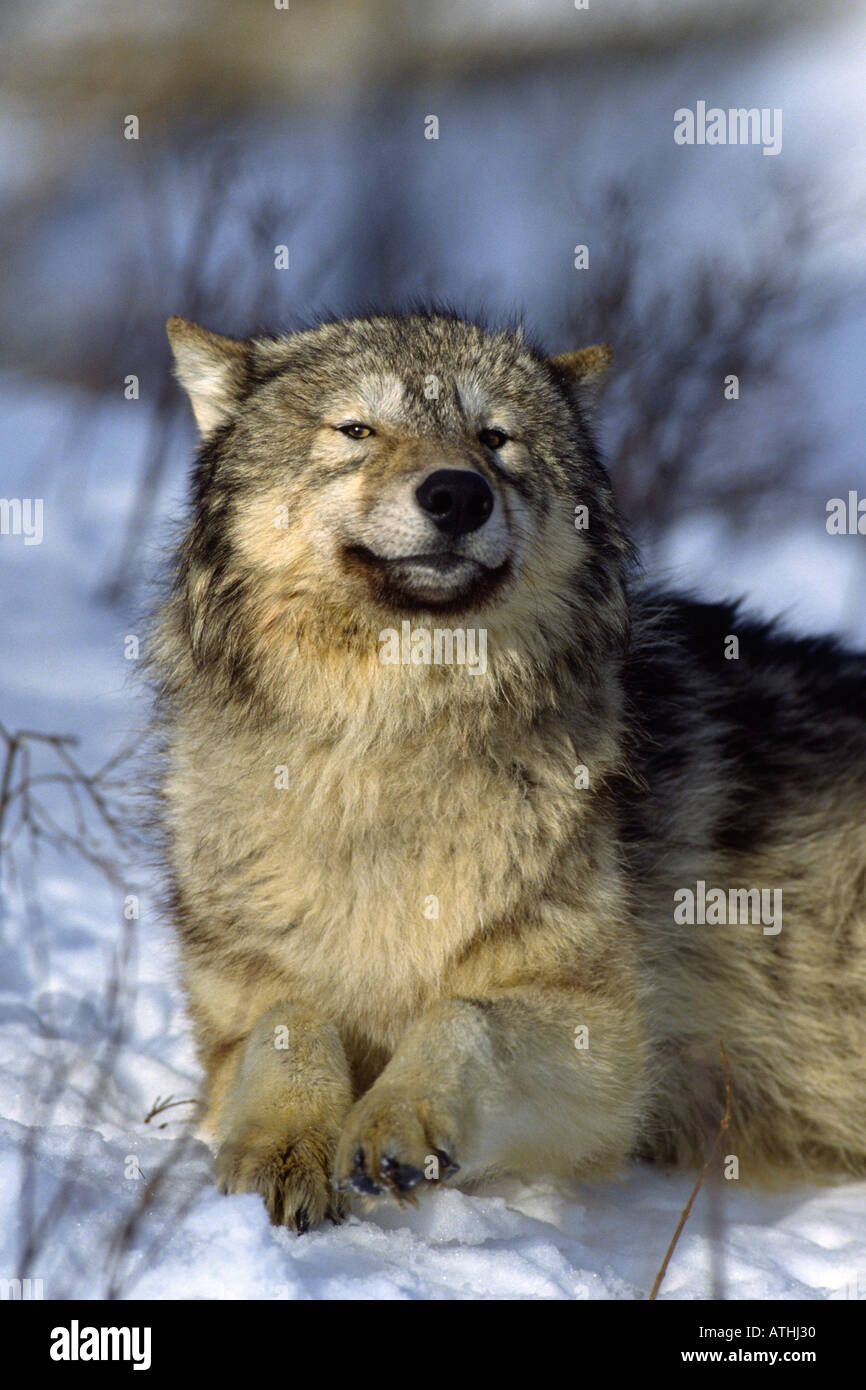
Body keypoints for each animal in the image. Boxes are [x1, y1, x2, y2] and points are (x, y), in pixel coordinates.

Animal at [152, 309, 866, 1232]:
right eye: (357, 430)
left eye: (496, 439)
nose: (458, 493)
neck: (388, 751)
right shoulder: (231, 1024)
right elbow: (291, 1020)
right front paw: (283, 1149)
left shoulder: (606, 1041)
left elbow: (465, 1017)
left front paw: (396, 1117)